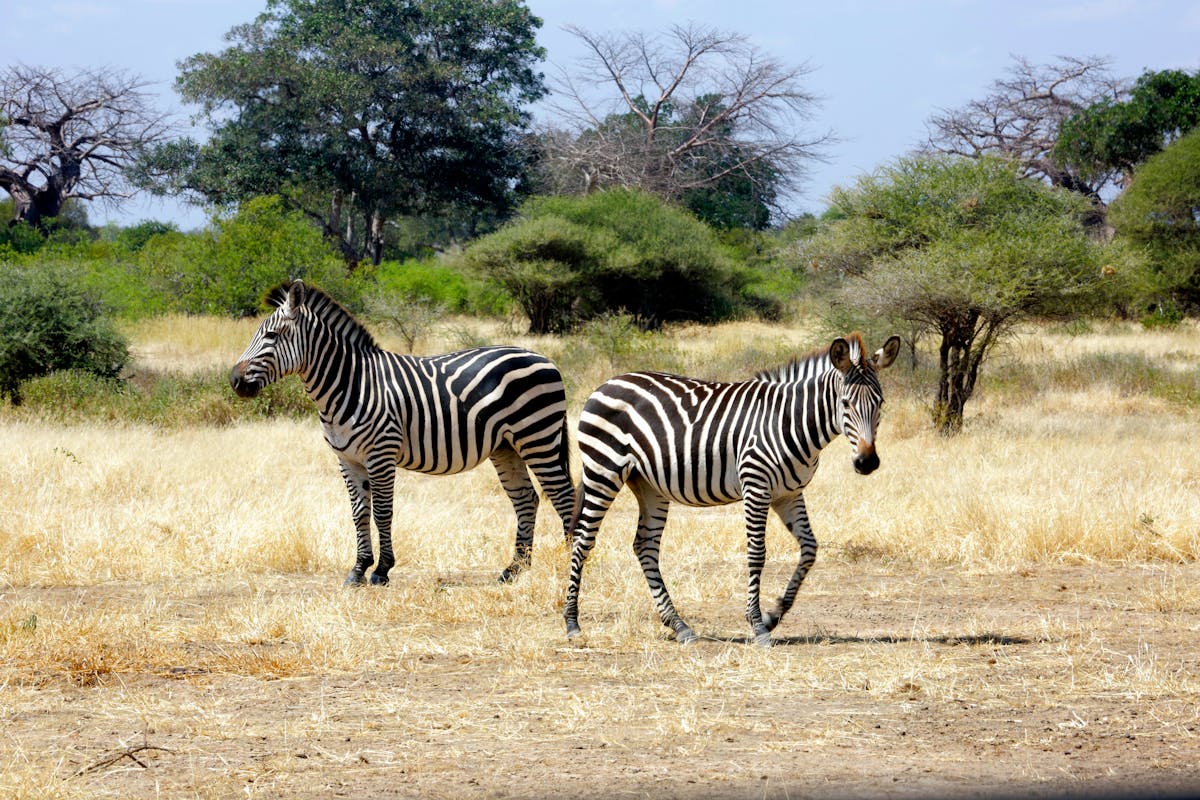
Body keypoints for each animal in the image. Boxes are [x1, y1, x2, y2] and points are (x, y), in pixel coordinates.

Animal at [229, 280, 576, 586]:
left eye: (272, 335)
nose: (234, 380)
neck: (351, 383)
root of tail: (546, 359)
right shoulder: (347, 459)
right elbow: (359, 513)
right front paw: (358, 569)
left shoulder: (380, 454)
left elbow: (383, 512)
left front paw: (381, 570)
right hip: (507, 446)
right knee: (526, 498)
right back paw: (514, 569)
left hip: (538, 437)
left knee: (564, 495)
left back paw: (571, 561)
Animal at [563, 332, 901, 646]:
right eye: (845, 403)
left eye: (881, 403)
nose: (867, 462)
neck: (792, 422)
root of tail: (607, 383)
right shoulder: (756, 485)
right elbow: (757, 553)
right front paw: (758, 624)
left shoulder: (788, 493)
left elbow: (809, 548)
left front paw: (774, 614)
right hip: (603, 470)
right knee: (583, 541)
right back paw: (572, 622)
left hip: (648, 485)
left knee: (644, 546)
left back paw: (679, 625)